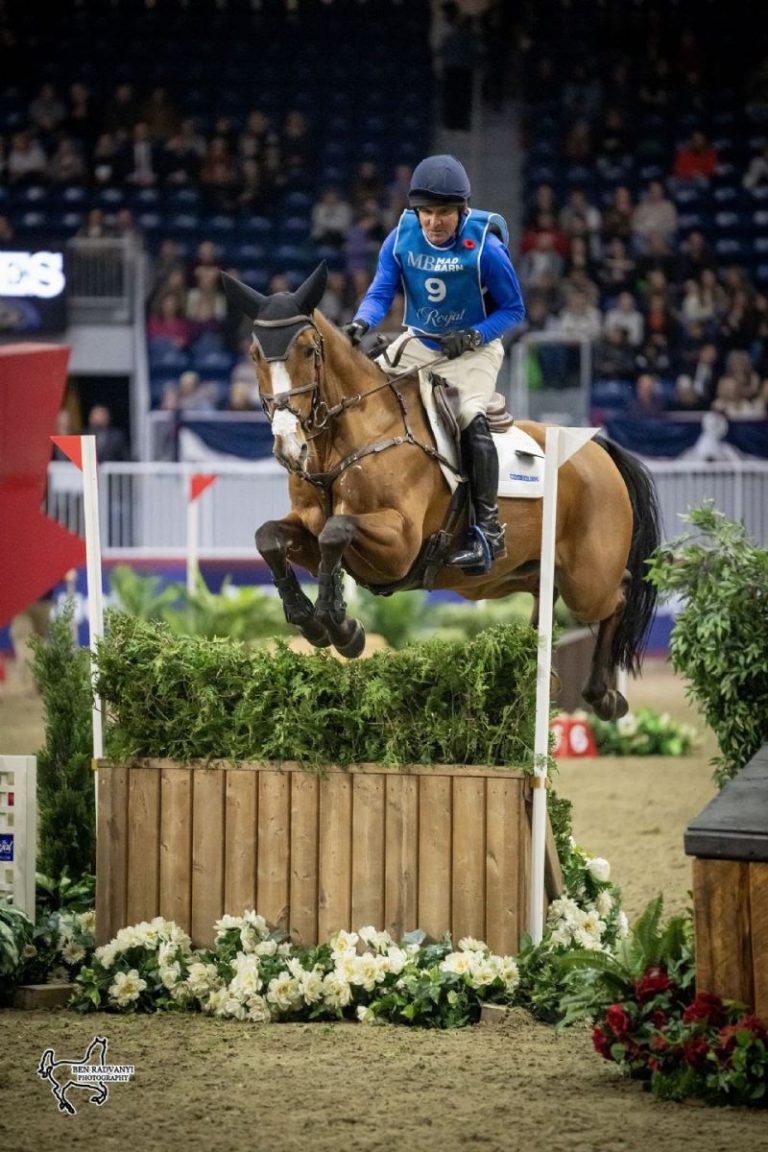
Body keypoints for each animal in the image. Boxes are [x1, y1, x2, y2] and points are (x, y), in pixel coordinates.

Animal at [221, 262, 661, 721]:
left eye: (308, 351)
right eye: (254, 355)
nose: (290, 447)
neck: (342, 441)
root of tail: (598, 450)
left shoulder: (399, 547)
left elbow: (336, 531)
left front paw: (340, 626)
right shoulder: (307, 528)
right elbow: (270, 537)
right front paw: (311, 619)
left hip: (587, 579)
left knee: (620, 592)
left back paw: (603, 695)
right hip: (508, 577)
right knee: (547, 594)